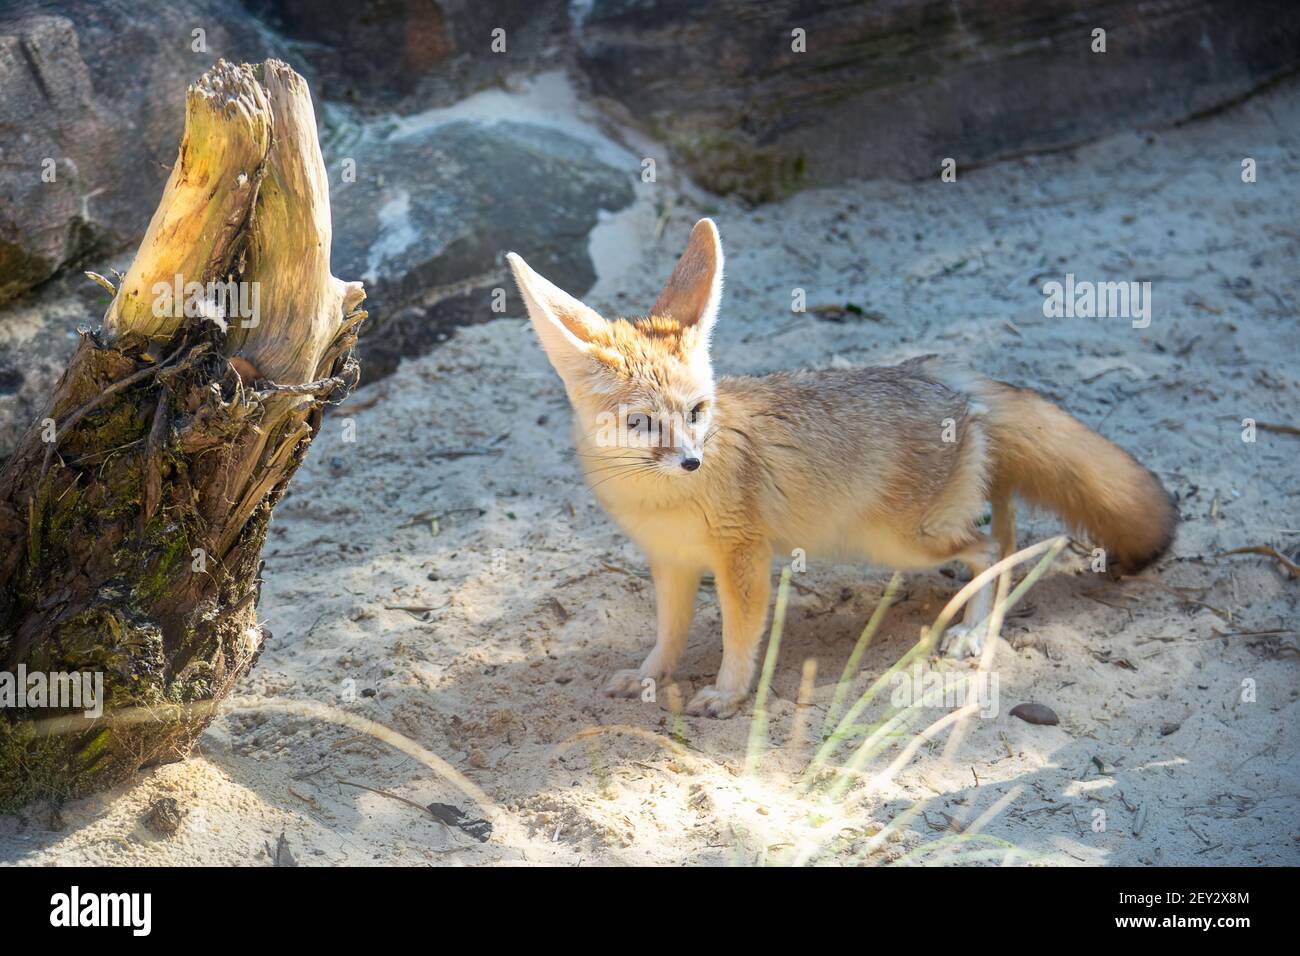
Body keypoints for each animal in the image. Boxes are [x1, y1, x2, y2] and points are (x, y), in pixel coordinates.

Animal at [506, 219, 1178, 718]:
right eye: (642, 423)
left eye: (697, 412)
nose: (693, 461)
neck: (659, 500)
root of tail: (941, 373)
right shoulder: (671, 564)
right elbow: (667, 636)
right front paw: (650, 676)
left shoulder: (743, 558)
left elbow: (739, 636)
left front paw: (728, 692)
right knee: (1003, 538)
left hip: (900, 540)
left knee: (993, 547)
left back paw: (970, 632)